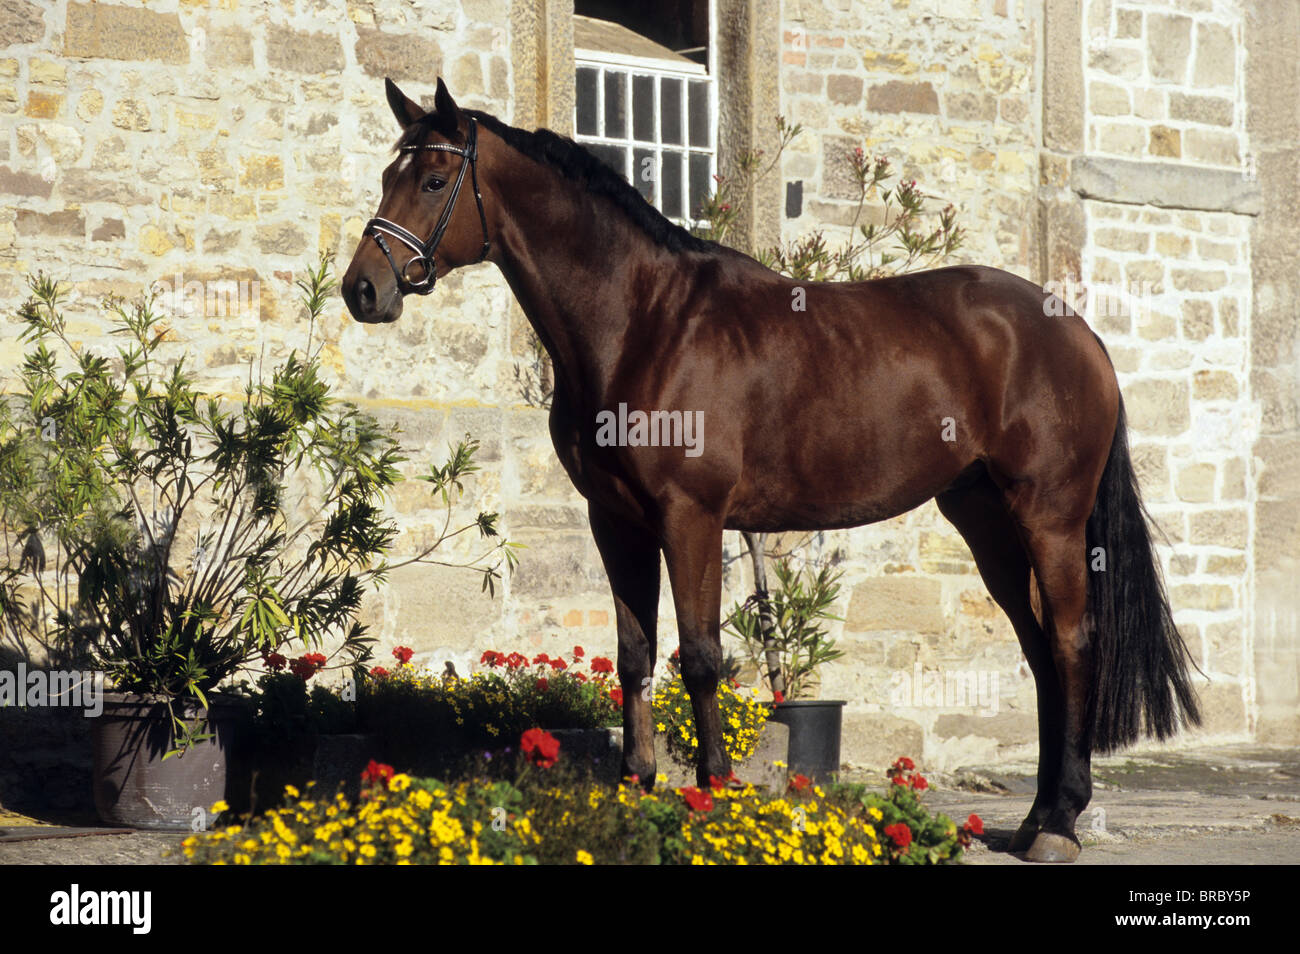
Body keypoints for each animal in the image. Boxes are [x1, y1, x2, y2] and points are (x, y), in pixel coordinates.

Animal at [341, 77, 1202, 863]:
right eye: (387, 175)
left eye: (434, 180)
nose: (362, 290)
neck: (645, 323)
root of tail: (1074, 331)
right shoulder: (615, 520)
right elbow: (635, 655)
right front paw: (634, 793)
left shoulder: (690, 517)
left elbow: (701, 659)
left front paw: (713, 796)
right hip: (984, 515)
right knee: (1039, 649)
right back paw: (1033, 820)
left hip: (1049, 514)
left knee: (1072, 641)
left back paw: (1060, 825)